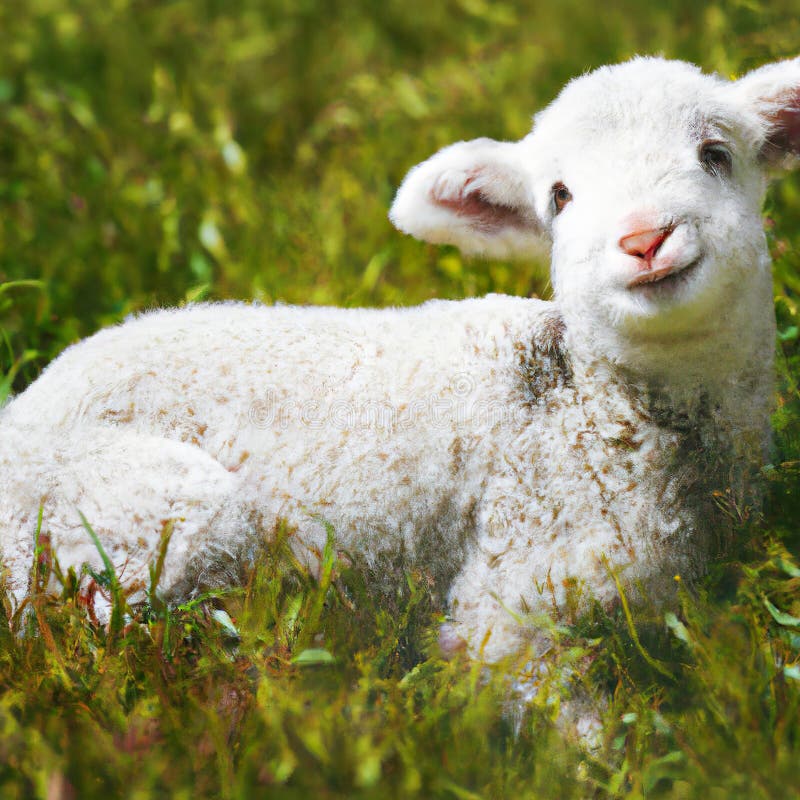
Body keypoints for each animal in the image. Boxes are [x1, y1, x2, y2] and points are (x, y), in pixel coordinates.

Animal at [0, 55, 798, 669]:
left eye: (716, 155)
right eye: (560, 197)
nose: (644, 239)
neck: (589, 405)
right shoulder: (509, 598)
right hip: (132, 509)